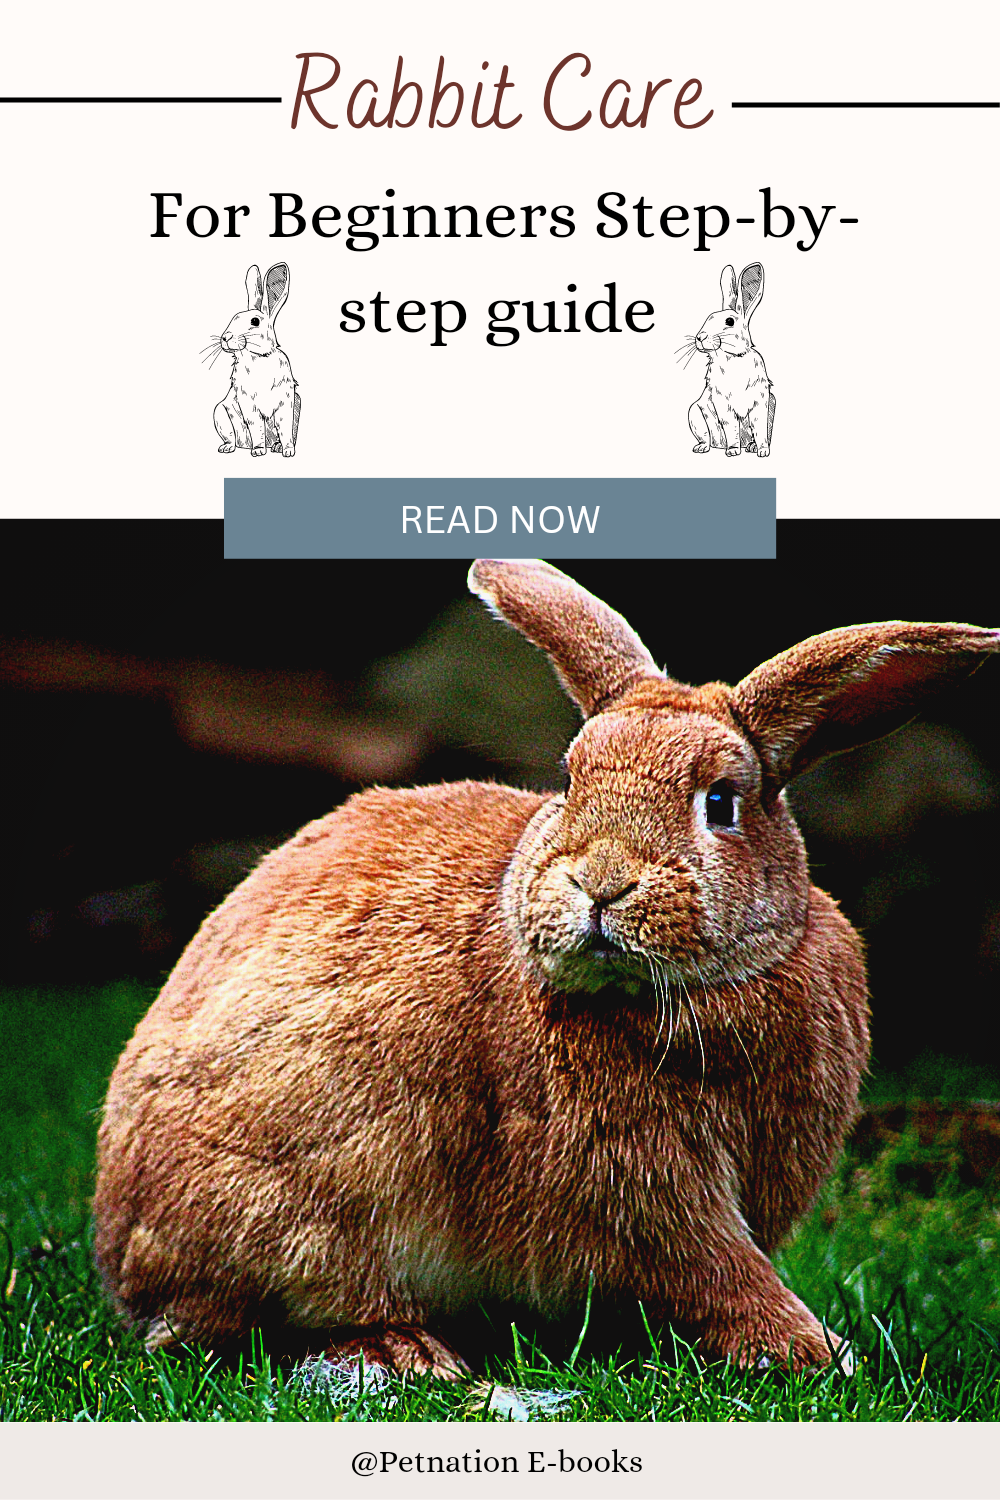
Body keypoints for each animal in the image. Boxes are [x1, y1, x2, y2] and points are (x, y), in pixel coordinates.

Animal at [92, 562, 999, 1379]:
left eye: (721, 802)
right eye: (568, 779)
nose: (601, 882)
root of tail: (121, 1241)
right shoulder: (645, 1189)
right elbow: (716, 1270)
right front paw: (813, 1349)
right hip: (315, 1208)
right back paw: (406, 1353)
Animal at [212, 263, 300, 458]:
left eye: (254, 321)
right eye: (233, 318)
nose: (225, 338)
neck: (259, 357)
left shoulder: (287, 403)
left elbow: (285, 428)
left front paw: (288, 451)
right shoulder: (249, 405)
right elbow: (256, 428)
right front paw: (259, 450)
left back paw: (276, 447)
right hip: (220, 414)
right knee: (231, 438)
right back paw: (228, 447)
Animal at [687, 262, 774, 457]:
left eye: (729, 321)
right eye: (708, 318)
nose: (700, 337)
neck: (733, 357)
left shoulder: (761, 403)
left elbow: (760, 428)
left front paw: (763, 451)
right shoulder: (723, 405)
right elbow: (731, 428)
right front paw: (733, 450)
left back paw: (751, 447)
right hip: (695, 414)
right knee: (706, 438)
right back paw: (703, 447)